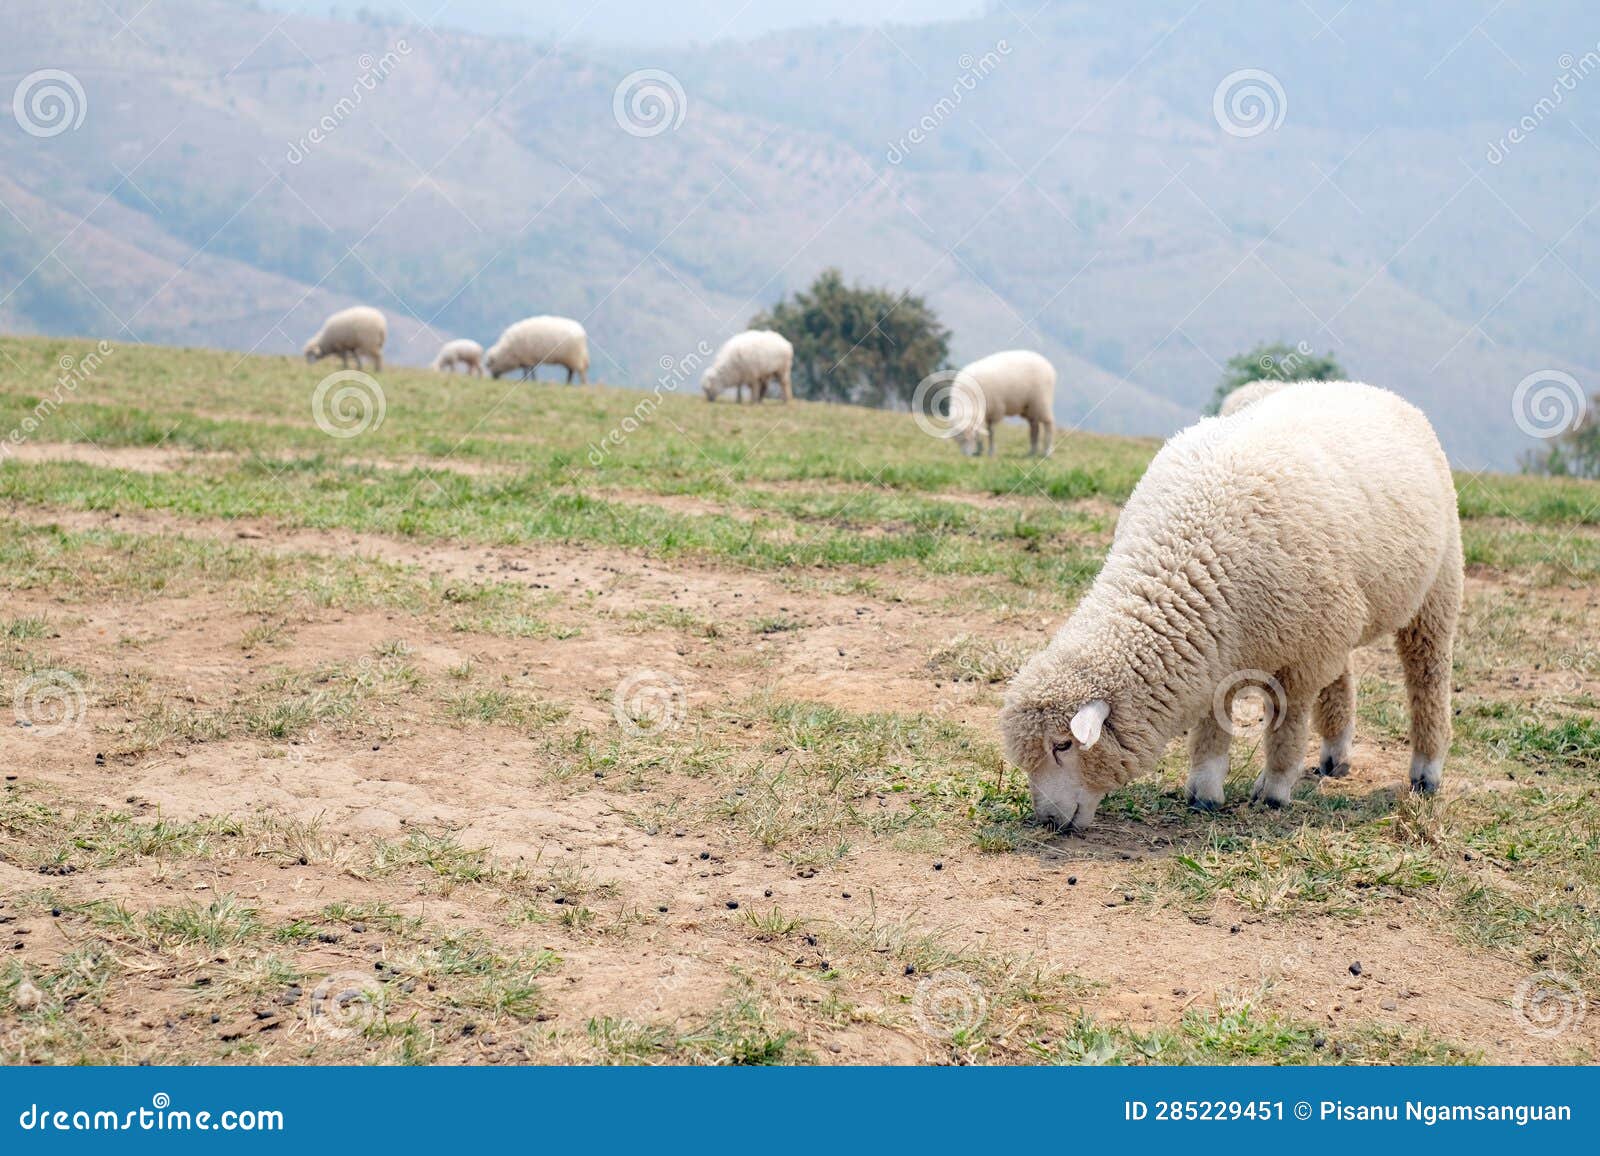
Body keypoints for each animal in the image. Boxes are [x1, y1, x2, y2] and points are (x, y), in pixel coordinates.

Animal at [998, 381, 1461, 831]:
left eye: (1063, 745)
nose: (1048, 820)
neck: (1187, 550)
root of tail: (1373, 389)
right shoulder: (1217, 651)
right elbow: (1212, 722)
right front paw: (1205, 790)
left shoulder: (1300, 663)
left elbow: (1288, 725)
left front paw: (1274, 790)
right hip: (1337, 615)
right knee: (1341, 676)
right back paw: (1335, 755)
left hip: (1436, 587)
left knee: (1427, 675)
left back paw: (1426, 773)